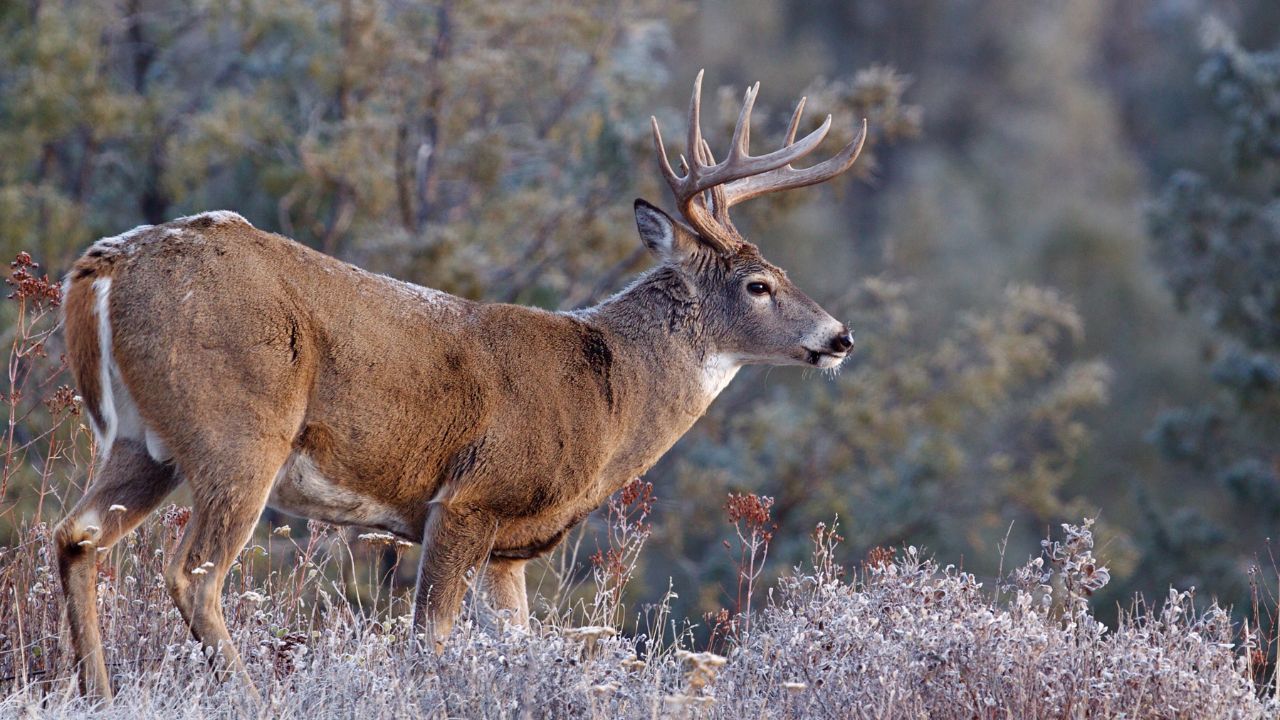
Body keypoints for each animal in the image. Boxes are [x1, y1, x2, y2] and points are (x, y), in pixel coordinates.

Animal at [53, 71, 866, 700]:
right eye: (759, 284)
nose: (839, 337)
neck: (611, 395)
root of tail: (105, 264)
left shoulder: (509, 548)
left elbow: (513, 643)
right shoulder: (470, 498)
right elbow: (429, 640)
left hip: (143, 442)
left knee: (76, 536)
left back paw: (97, 693)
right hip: (239, 429)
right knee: (192, 573)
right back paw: (252, 699)